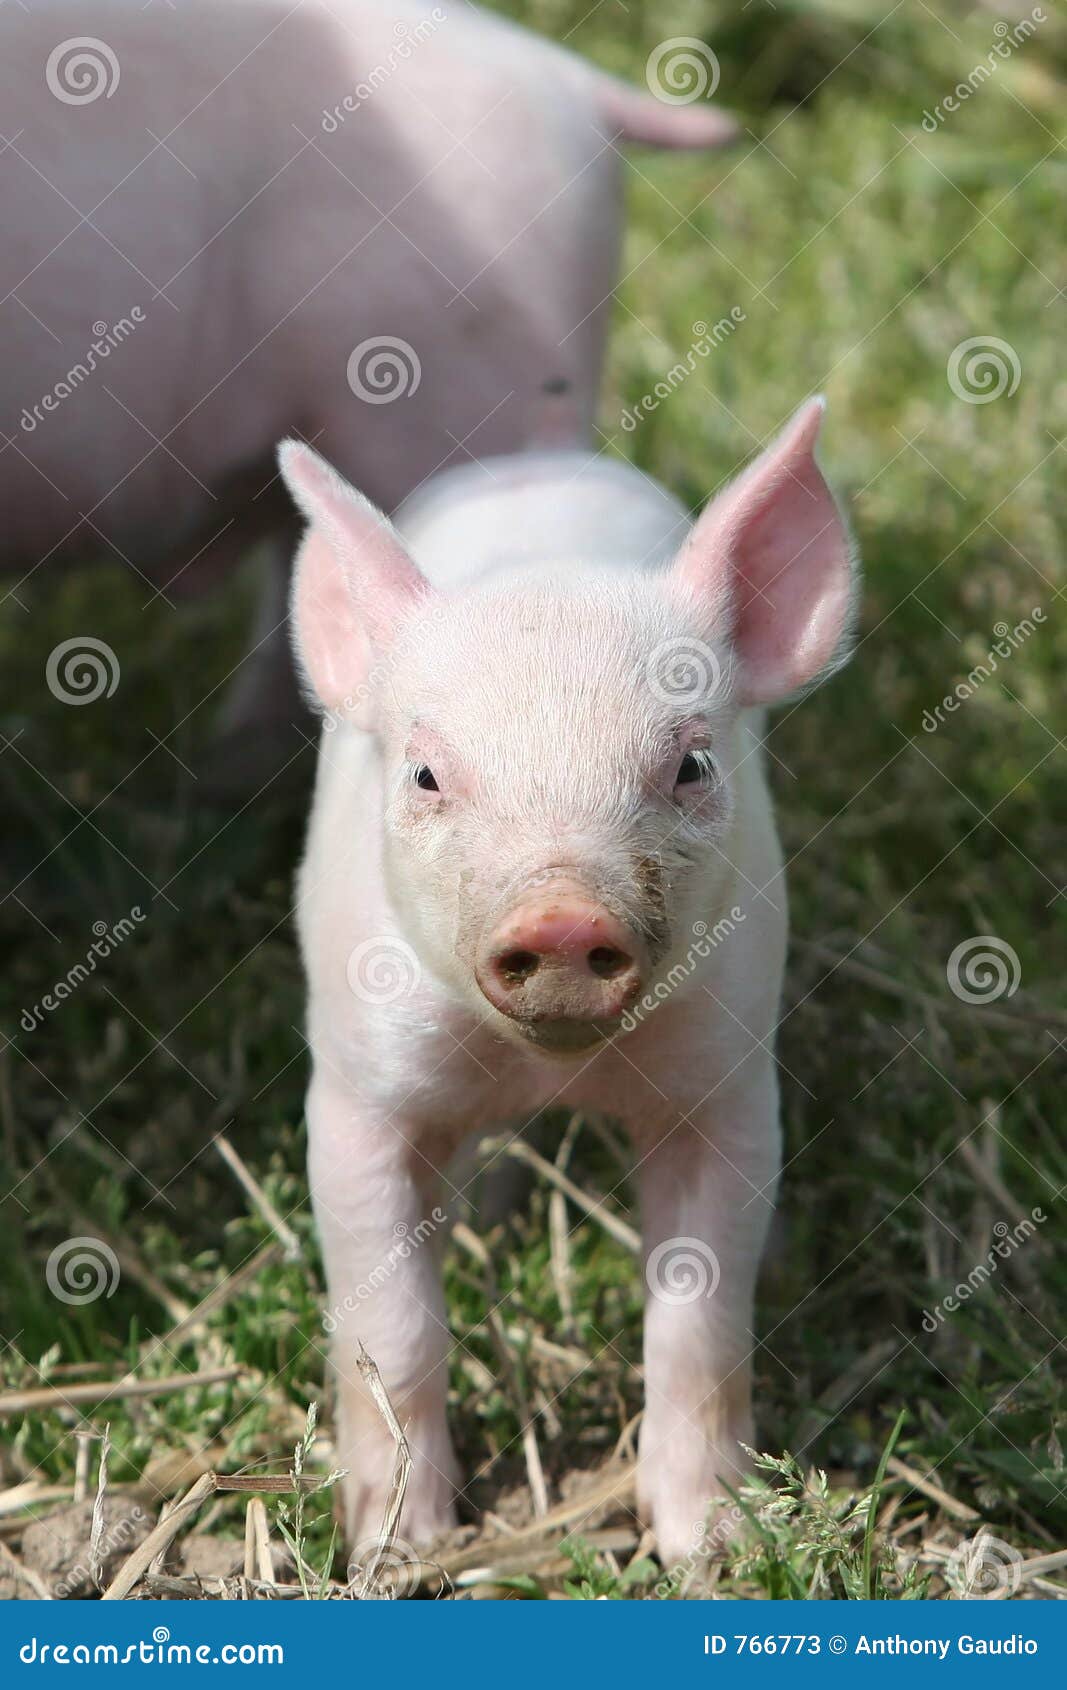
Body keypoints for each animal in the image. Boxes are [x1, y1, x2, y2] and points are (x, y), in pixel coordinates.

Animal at [278, 395, 857, 1568]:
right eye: (424, 773)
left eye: (689, 765)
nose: (559, 916)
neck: (549, 1073)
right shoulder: (355, 1090)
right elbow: (391, 1325)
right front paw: (399, 1553)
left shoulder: (724, 1079)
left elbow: (698, 1325)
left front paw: (705, 1549)